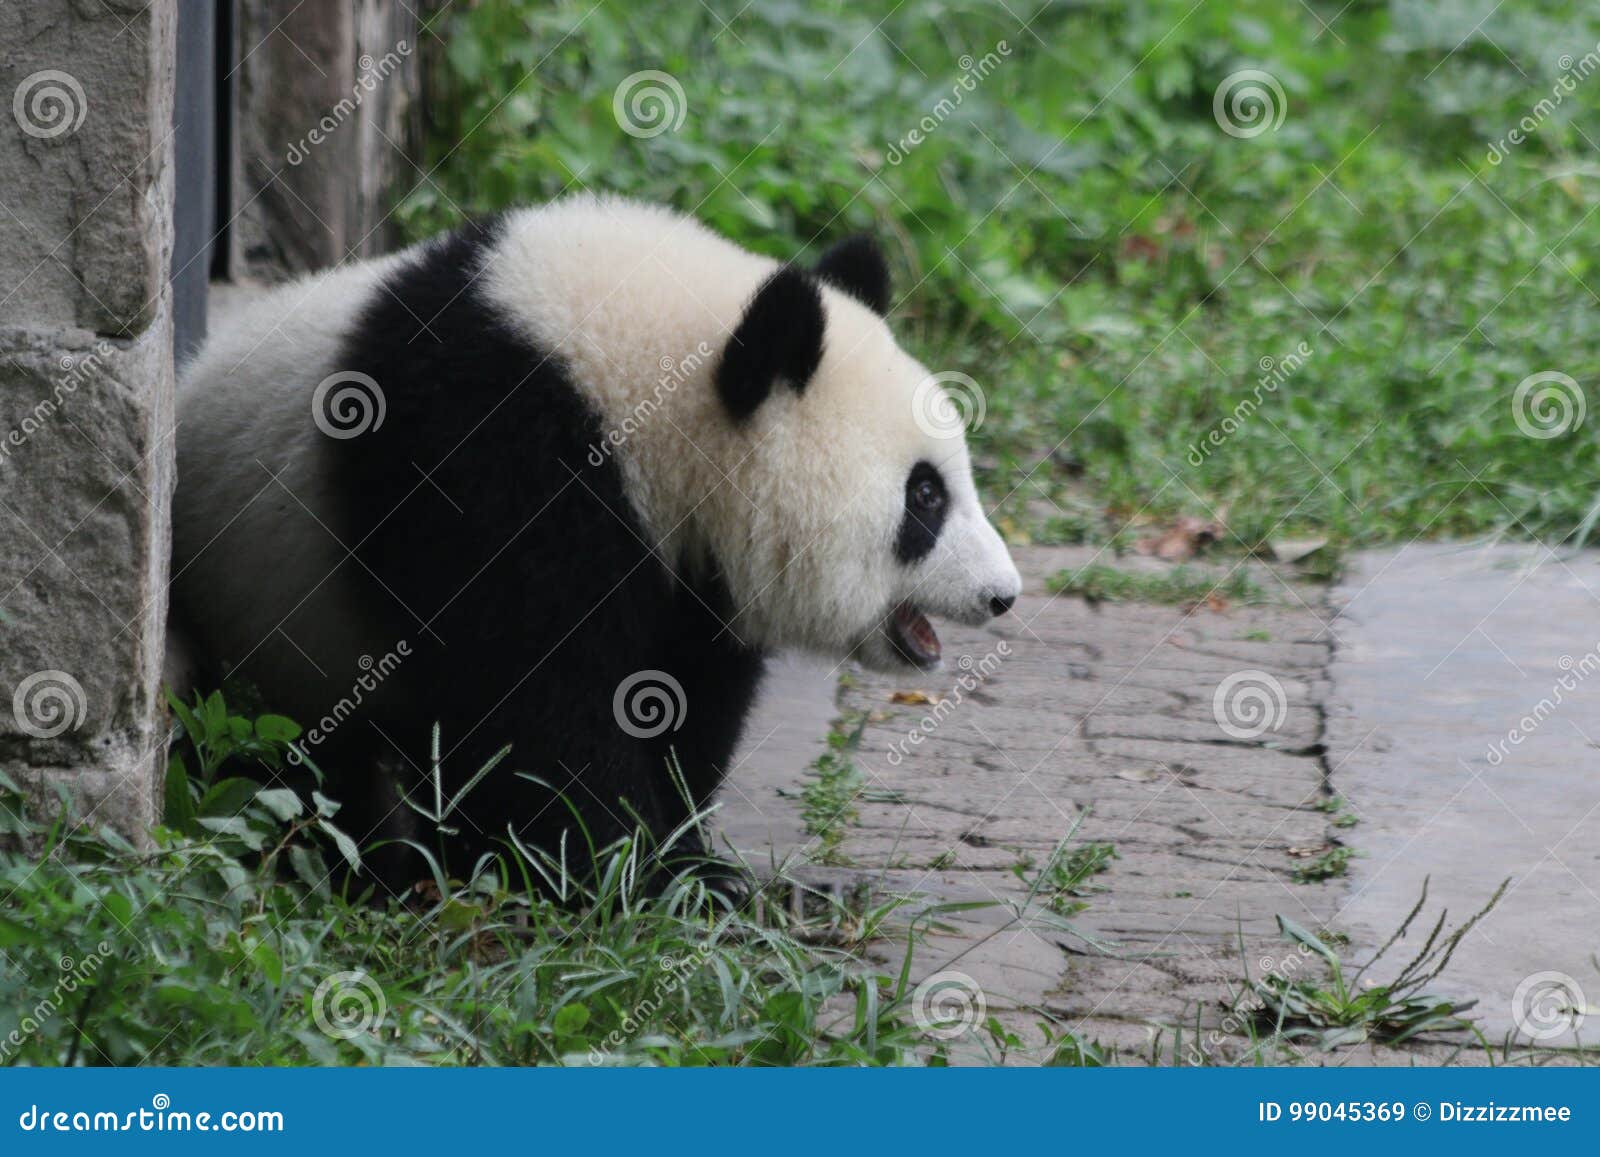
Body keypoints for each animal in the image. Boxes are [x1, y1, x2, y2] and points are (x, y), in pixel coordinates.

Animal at [171, 195, 1022, 890]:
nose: (1003, 594)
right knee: (297, 767)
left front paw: (684, 860)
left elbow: (682, 694)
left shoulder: (692, 566)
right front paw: (625, 873)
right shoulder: (484, 457)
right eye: (925, 495)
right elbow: (537, 697)